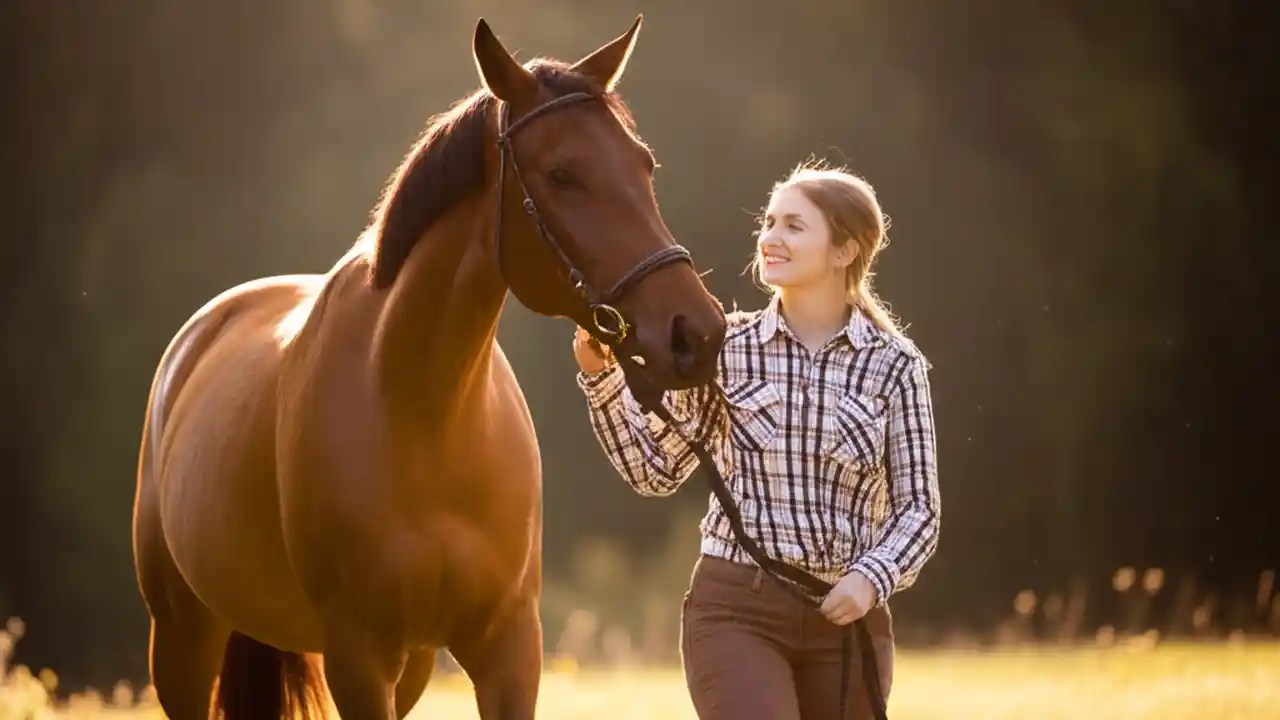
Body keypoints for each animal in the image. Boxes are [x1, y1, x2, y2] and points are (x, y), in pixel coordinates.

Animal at [131, 16, 727, 720]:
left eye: (643, 165)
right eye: (562, 174)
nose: (697, 332)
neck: (425, 416)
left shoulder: (506, 652)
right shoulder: (359, 659)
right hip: (184, 642)